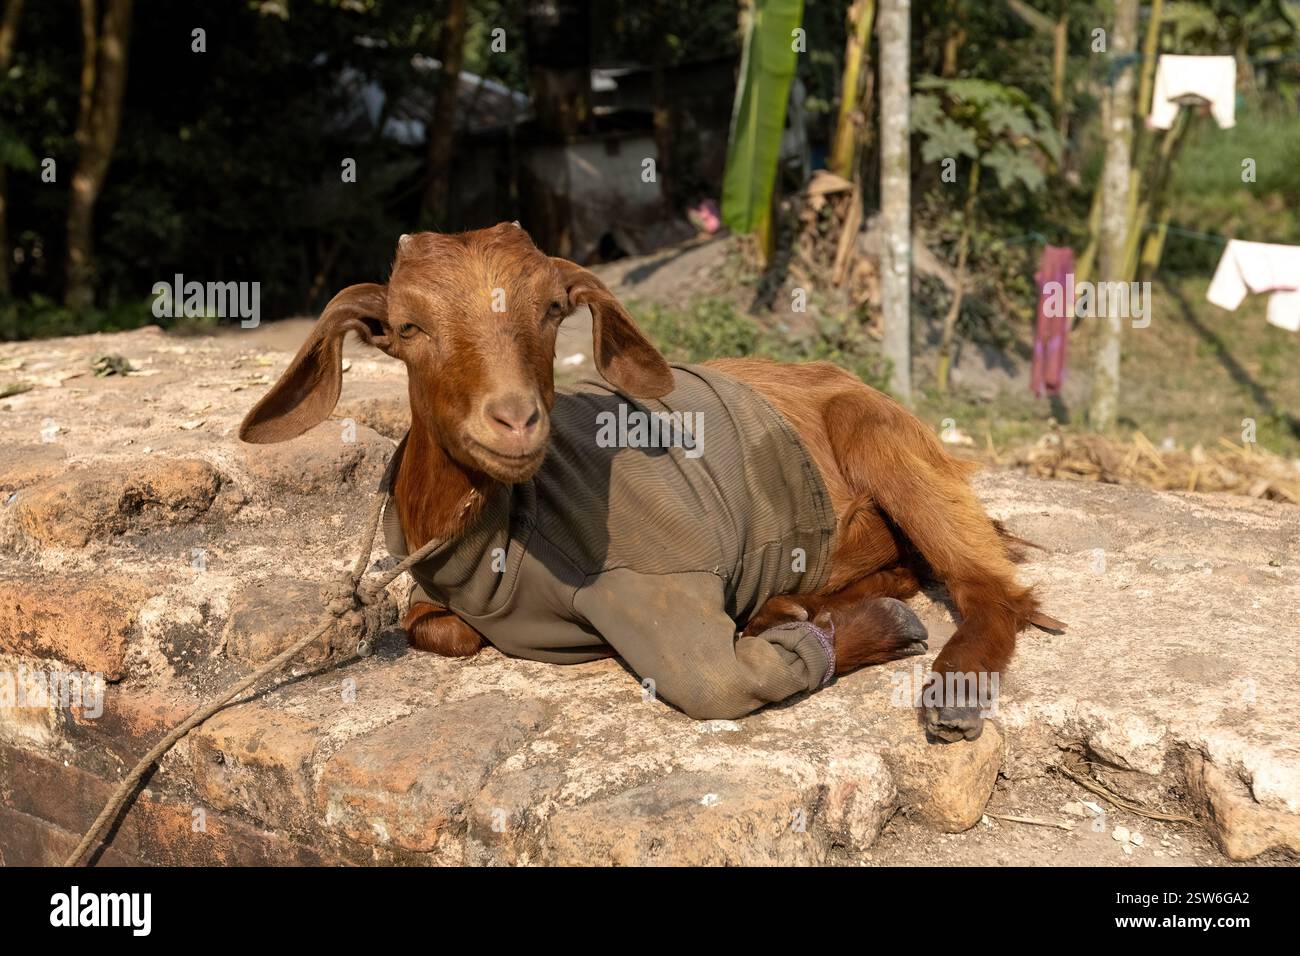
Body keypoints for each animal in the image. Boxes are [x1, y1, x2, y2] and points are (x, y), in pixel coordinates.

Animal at [240, 223, 1059, 741]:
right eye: (408, 328)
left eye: (552, 312)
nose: (514, 420)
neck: (500, 536)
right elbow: (431, 626)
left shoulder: (656, 580)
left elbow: (719, 680)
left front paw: (882, 630)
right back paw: (788, 603)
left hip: (886, 436)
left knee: (989, 588)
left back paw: (951, 695)